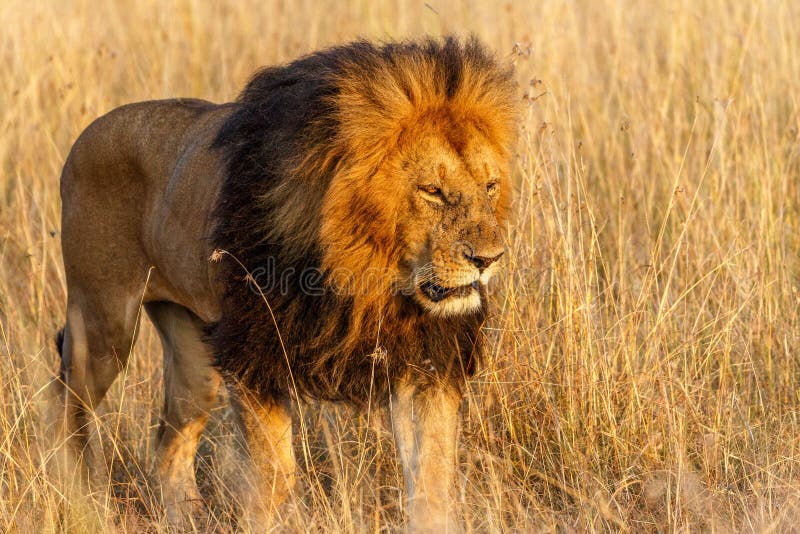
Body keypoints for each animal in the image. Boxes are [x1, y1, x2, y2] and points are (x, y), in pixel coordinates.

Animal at [56, 36, 517, 531]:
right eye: (432, 190)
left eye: (490, 186)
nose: (489, 259)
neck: (365, 280)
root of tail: (85, 136)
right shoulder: (255, 357)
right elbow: (276, 475)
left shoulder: (427, 366)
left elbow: (431, 478)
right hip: (103, 325)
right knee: (65, 406)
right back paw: (78, 502)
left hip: (194, 359)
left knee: (167, 447)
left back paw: (185, 518)